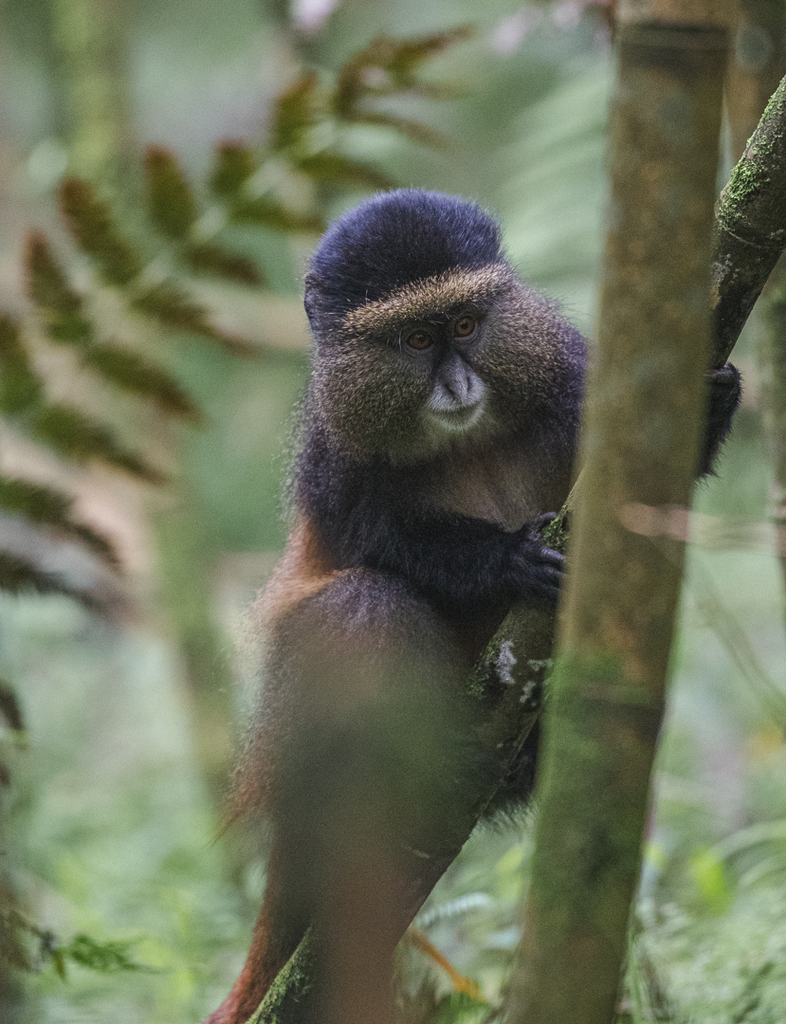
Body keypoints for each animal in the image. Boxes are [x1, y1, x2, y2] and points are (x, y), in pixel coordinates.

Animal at [205, 189, 741, 1024]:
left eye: (464, 326)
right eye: (417, 338)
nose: (457, 383)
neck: (467, 438)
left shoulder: (575, 381)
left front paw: (710, 404)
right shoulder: (332, 459)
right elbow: (384, 544)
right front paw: (506, 560)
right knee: (366, 605)